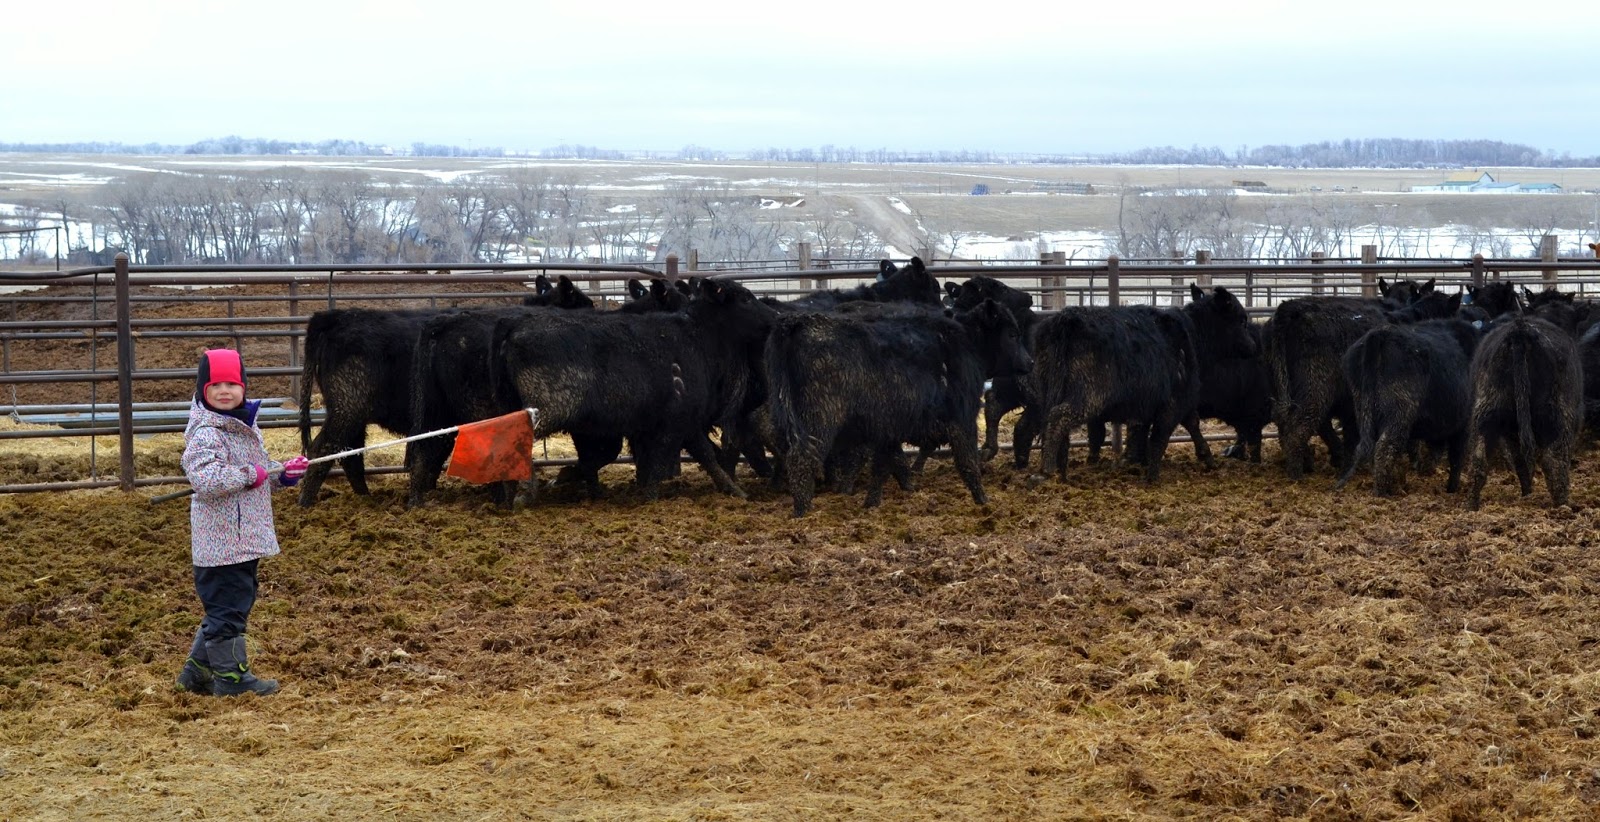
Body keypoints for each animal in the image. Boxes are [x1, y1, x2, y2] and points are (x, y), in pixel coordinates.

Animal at [765, 299, 1032, 517]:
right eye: (1012, 334)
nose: (1029, 361)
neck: (967, 343)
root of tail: (799, 322)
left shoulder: (888, 427)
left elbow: (885, 465)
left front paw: (872, 503)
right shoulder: (962, 417)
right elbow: (968, 462)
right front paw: (983, 501)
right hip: (820, 418)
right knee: (801, 460)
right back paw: (803, 511)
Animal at [1335, 318, 1481, 496]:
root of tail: (1381, 333)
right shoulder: (1463, 424)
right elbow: (1456, 457)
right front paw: (1451, 488)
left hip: (1364, 411)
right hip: (1399, 414)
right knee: (1385, 448)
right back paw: (1382, 493)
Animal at [1464, 314, 1582, 510]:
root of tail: (1520, 329)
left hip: (1486, 414)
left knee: (1479, 460)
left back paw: (1471, 506)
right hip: (1557, 414)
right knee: (1554, 462)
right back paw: (1563, 507)